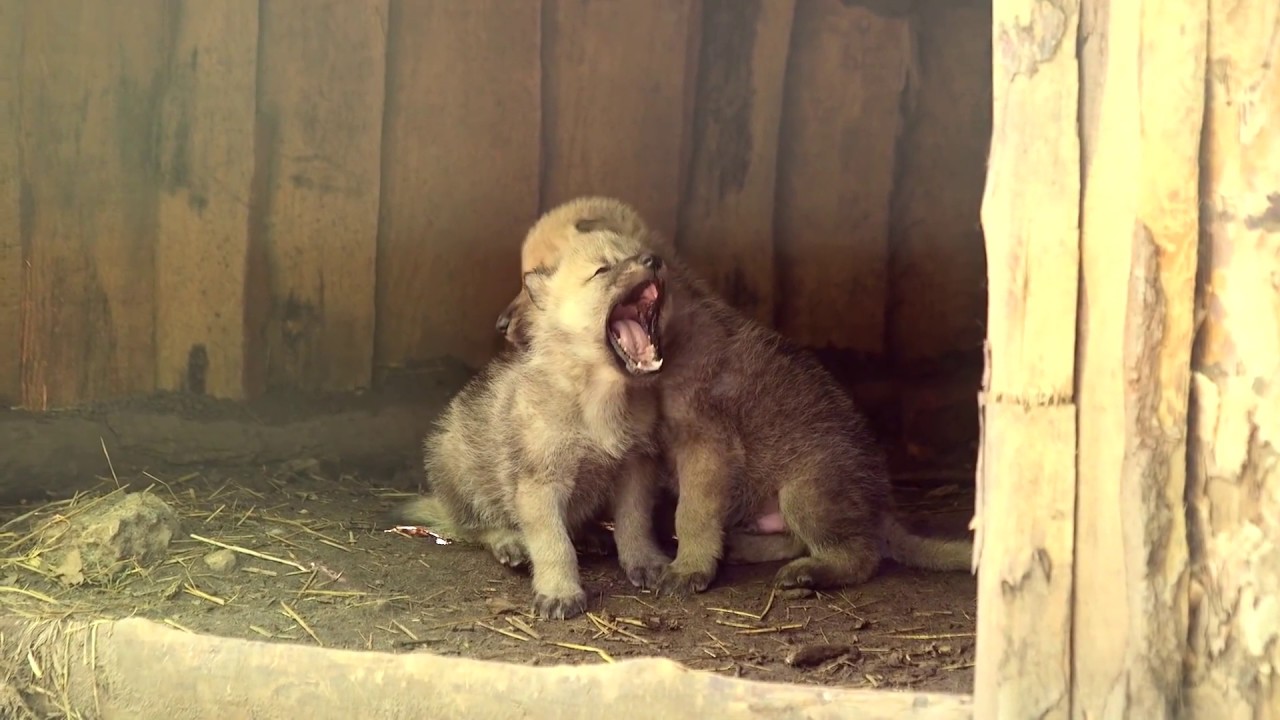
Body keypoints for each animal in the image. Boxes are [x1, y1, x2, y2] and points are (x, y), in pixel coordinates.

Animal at [390, 230, 674, 619]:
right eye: (602, 269)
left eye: (640, 253)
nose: (655, 259)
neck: (598, 395)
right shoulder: (540, 483)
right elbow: (554, 543)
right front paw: (559, 591)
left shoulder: (636, 469)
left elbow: (634, 523)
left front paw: (645, 561)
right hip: (459, 469)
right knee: (474, 525)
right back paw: (509, 542)